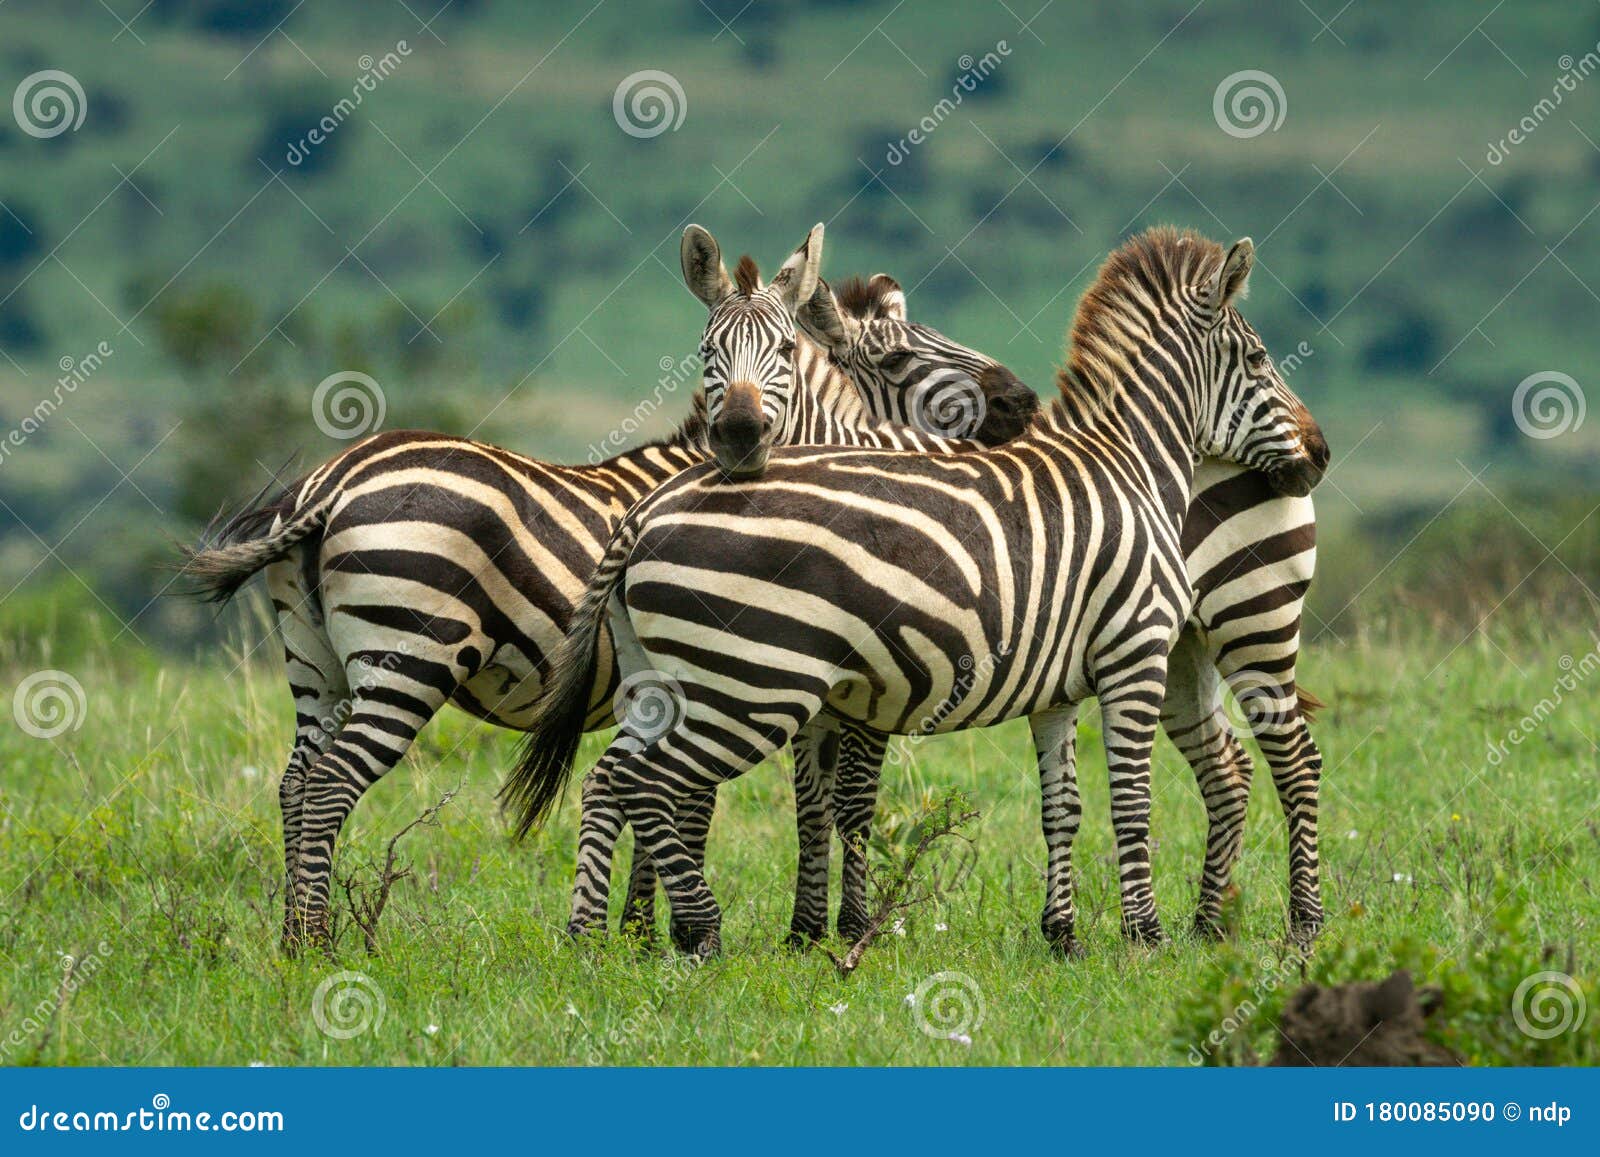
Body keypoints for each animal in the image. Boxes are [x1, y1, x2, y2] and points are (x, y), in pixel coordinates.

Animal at [178, 222, 1037, 951]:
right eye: (897, 360)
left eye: (785, 349)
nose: (1021, 401)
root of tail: (329, 482)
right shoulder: (775, 675)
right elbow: (810, 798)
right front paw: (824, 930)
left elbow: (767, 797)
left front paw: (655, 931)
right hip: (406, 659)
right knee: (329, 786)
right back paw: (321, 945)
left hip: (315, 664)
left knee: (295, 784)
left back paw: (291, 942)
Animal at [505, 227, 1330, 958]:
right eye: (1260, 357)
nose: (1320, 454)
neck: (1128, 463)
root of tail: (646, 512)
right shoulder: (1132, 651)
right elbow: (1128, 800)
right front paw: (1142, 938)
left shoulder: (1062, 680)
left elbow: (1060, 805)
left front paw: (1064, 936)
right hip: (750, 684)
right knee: (644, 780)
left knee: (613, 779)